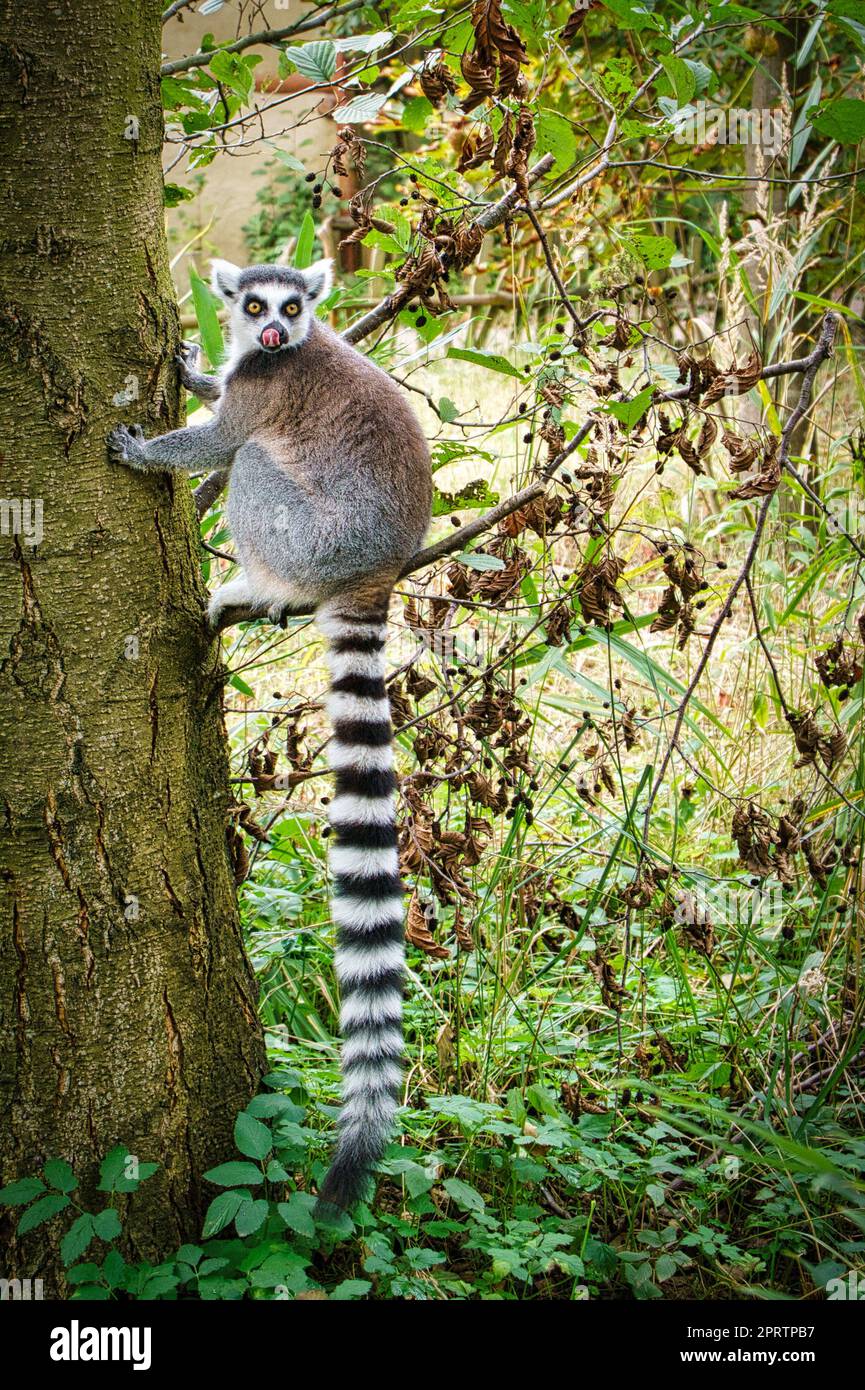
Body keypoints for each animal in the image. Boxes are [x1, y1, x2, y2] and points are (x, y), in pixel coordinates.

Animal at [108, 258, 432, 1211]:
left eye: (292, 306)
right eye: (254, 306)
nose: (277, 334)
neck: (280, 356)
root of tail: (377, 566)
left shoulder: (267, 393)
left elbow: (220, 442)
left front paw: (145, 450)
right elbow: (219, 397)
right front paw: (192, 368)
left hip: (307, 536)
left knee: (251, 462)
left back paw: (247, 591)